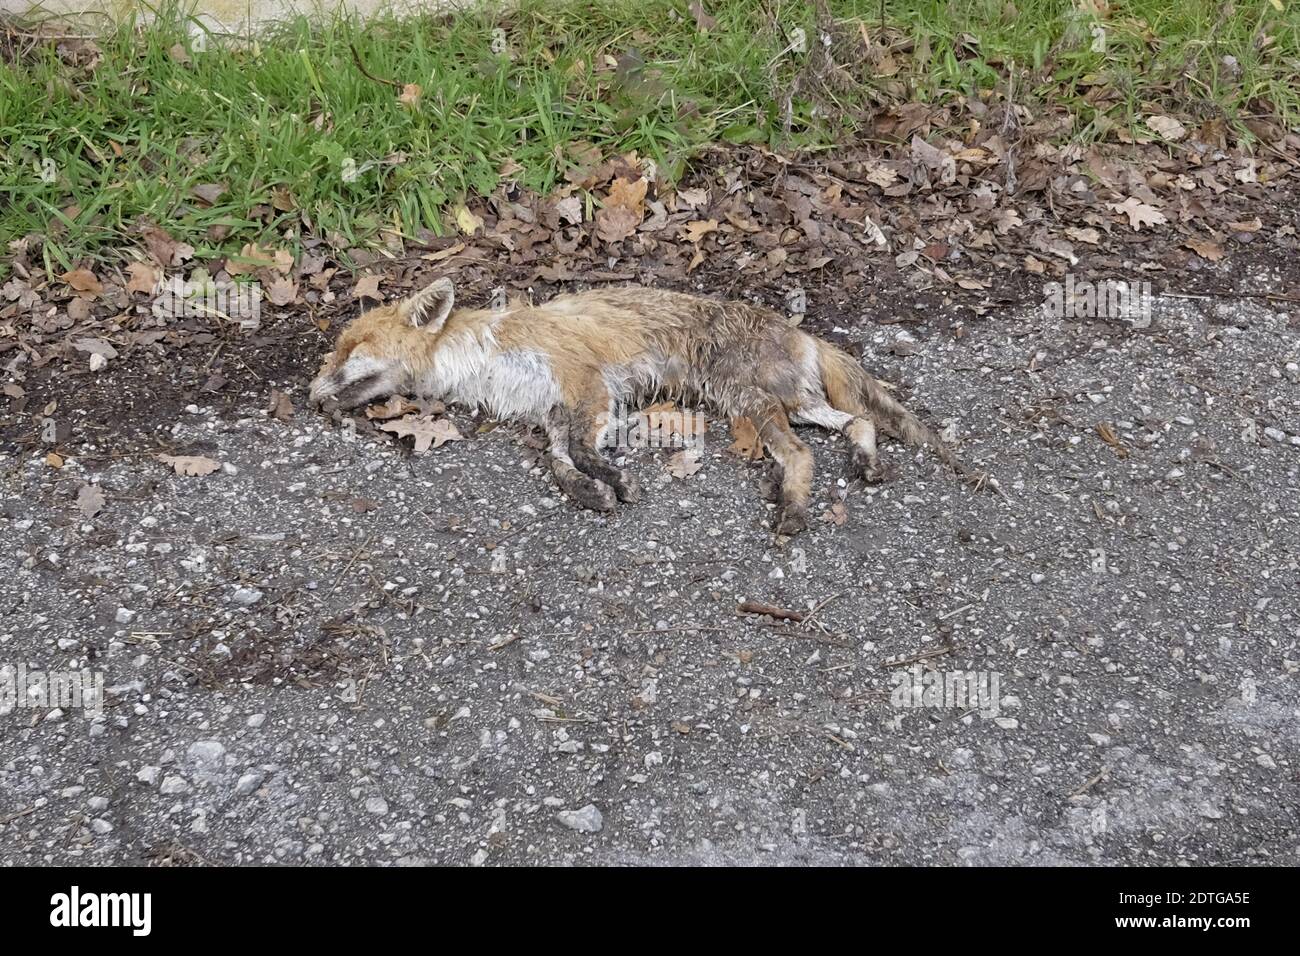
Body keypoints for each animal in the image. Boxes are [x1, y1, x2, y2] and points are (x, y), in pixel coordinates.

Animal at [308, 277, 965, 535]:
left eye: (346, 350)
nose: (312, 396)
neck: (484, 358)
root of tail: (798, 330)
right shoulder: (555, 410)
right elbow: (559, 462)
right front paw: (593, 489)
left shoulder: (588, 384)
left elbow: (581, 449)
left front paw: (614, 480)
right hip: (788, 401)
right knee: (857, 419)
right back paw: (867, 461)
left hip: (751, 402)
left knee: (802, 454)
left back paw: (794, 510)